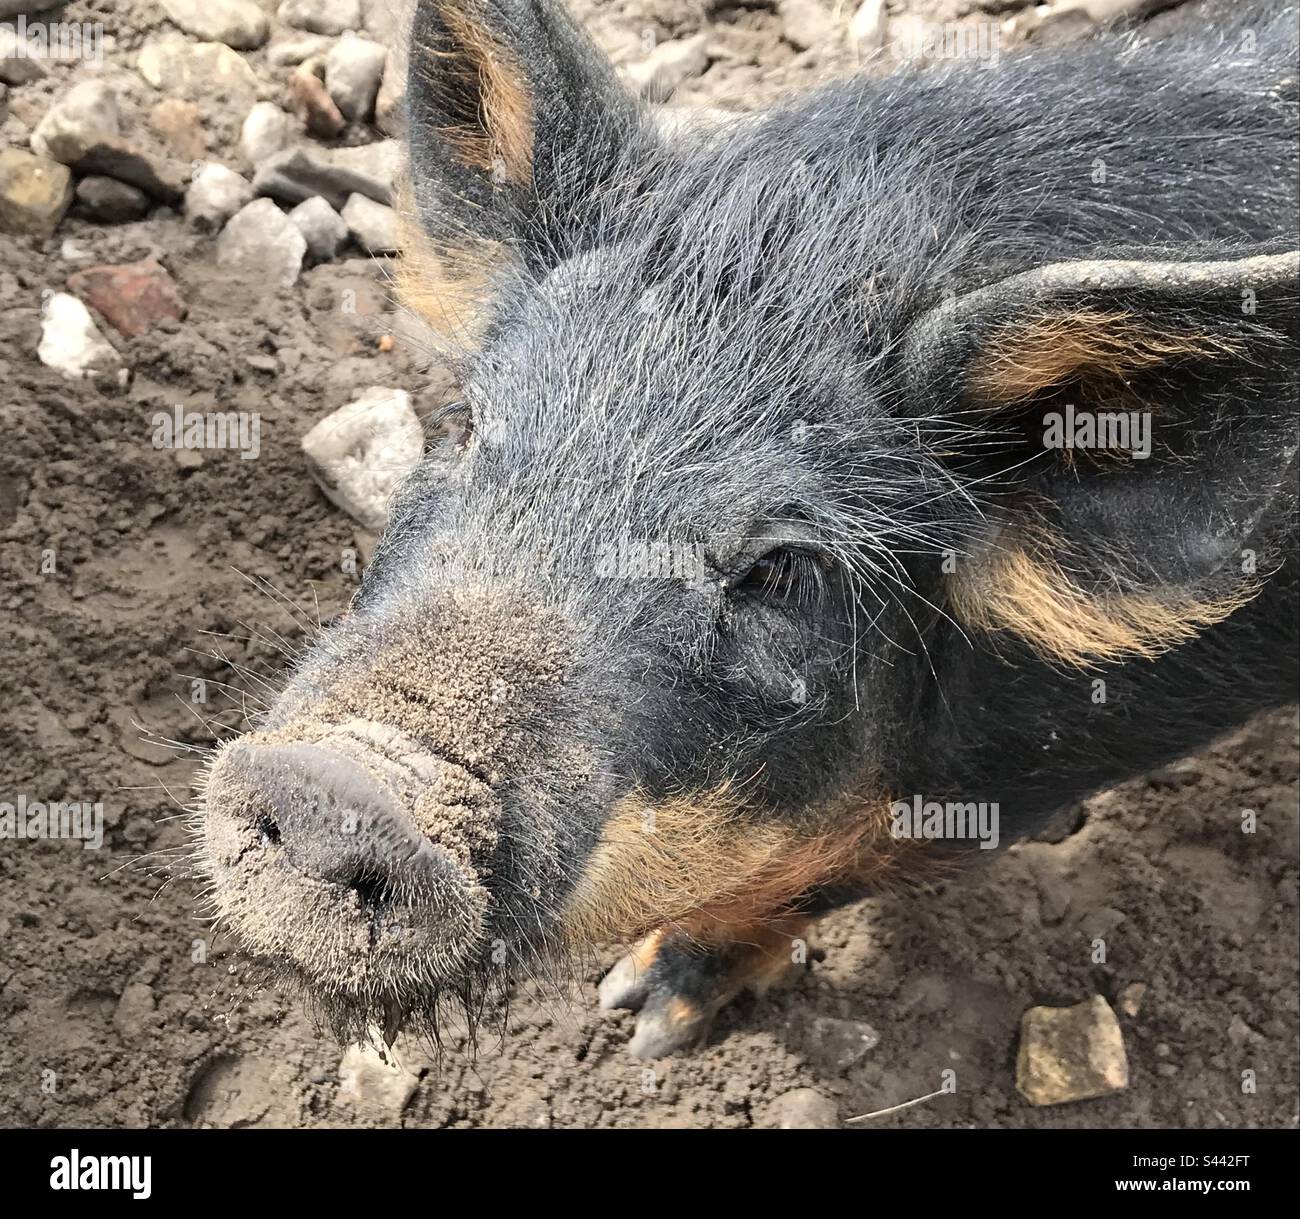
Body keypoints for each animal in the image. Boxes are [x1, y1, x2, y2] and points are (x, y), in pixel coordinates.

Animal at [198, 0, 1299, 1058]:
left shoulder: (1046, 759)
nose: (336, 781)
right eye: (468, 426)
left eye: (778, 569)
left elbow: (819, 876)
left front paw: (644, 1016)